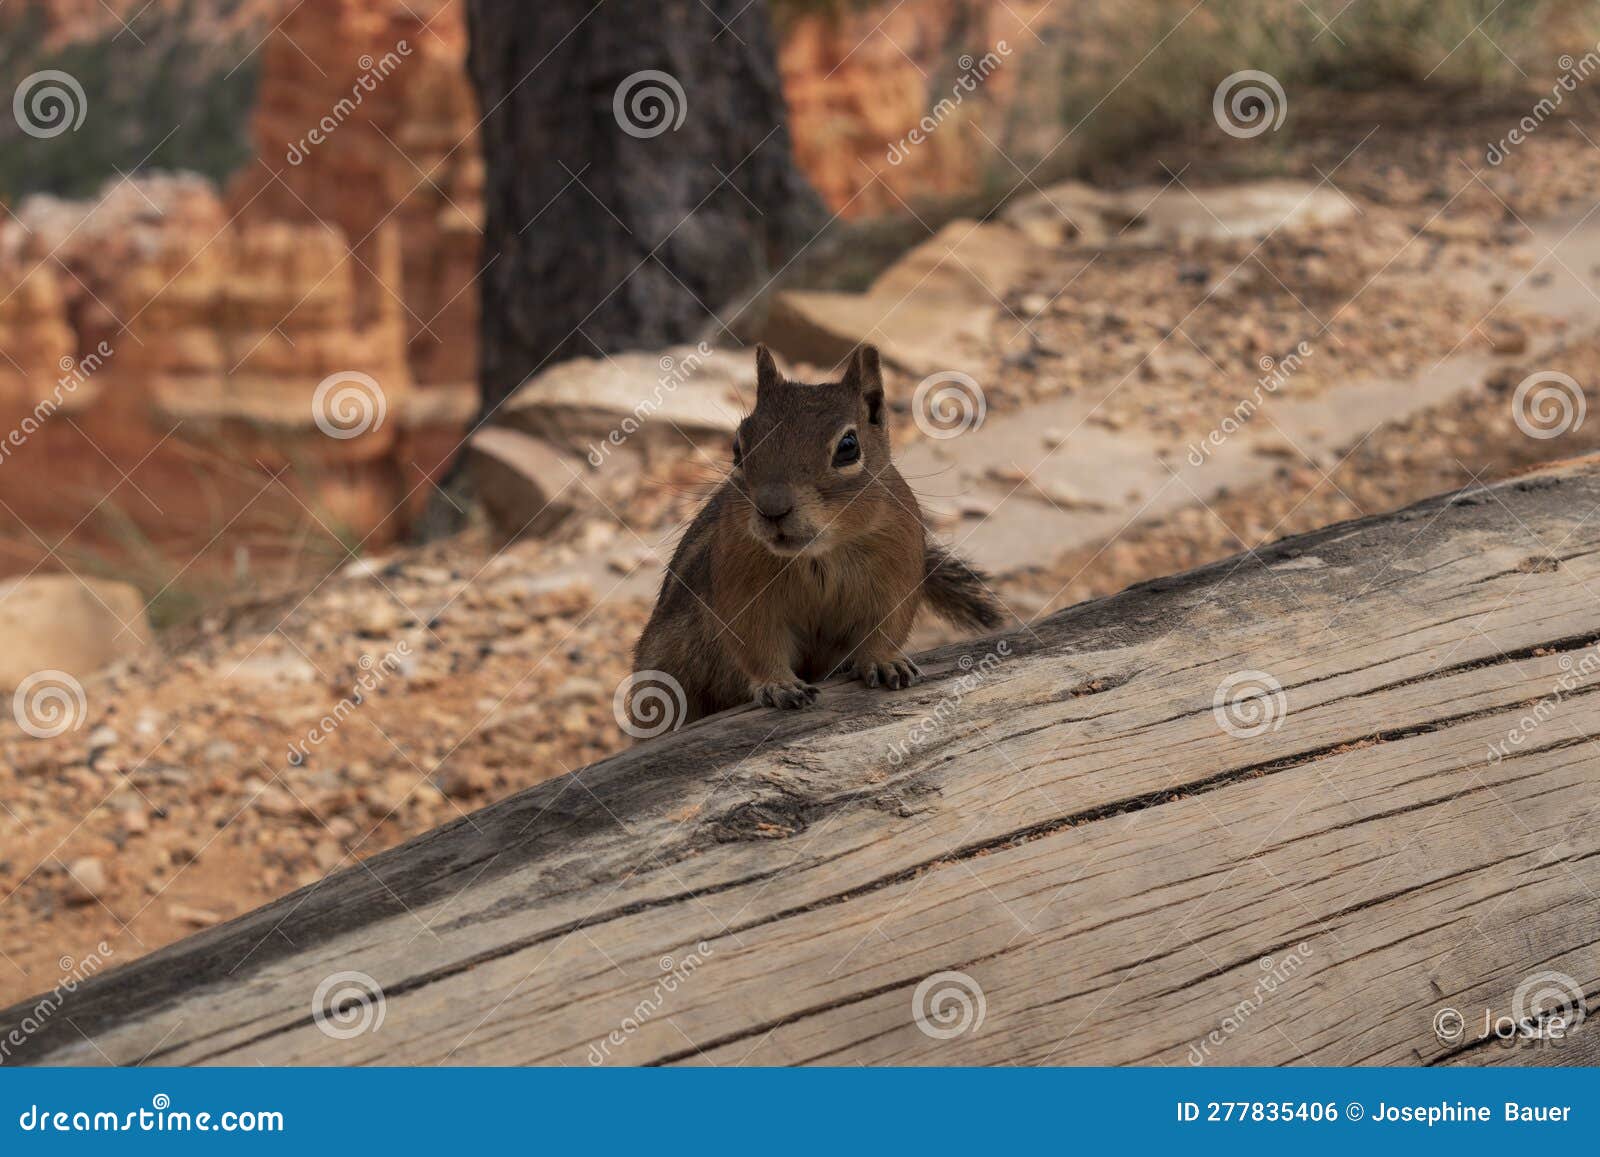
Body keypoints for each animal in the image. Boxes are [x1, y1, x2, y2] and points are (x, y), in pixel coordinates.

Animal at [630, 342, 1004, 727]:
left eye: (848, 446)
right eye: (737, 446)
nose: (772, 509)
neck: (820, 553)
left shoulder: (897, 571)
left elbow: (888, 626)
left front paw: (885, 661)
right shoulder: (742, 591)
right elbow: (756, 644)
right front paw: (778, 685)